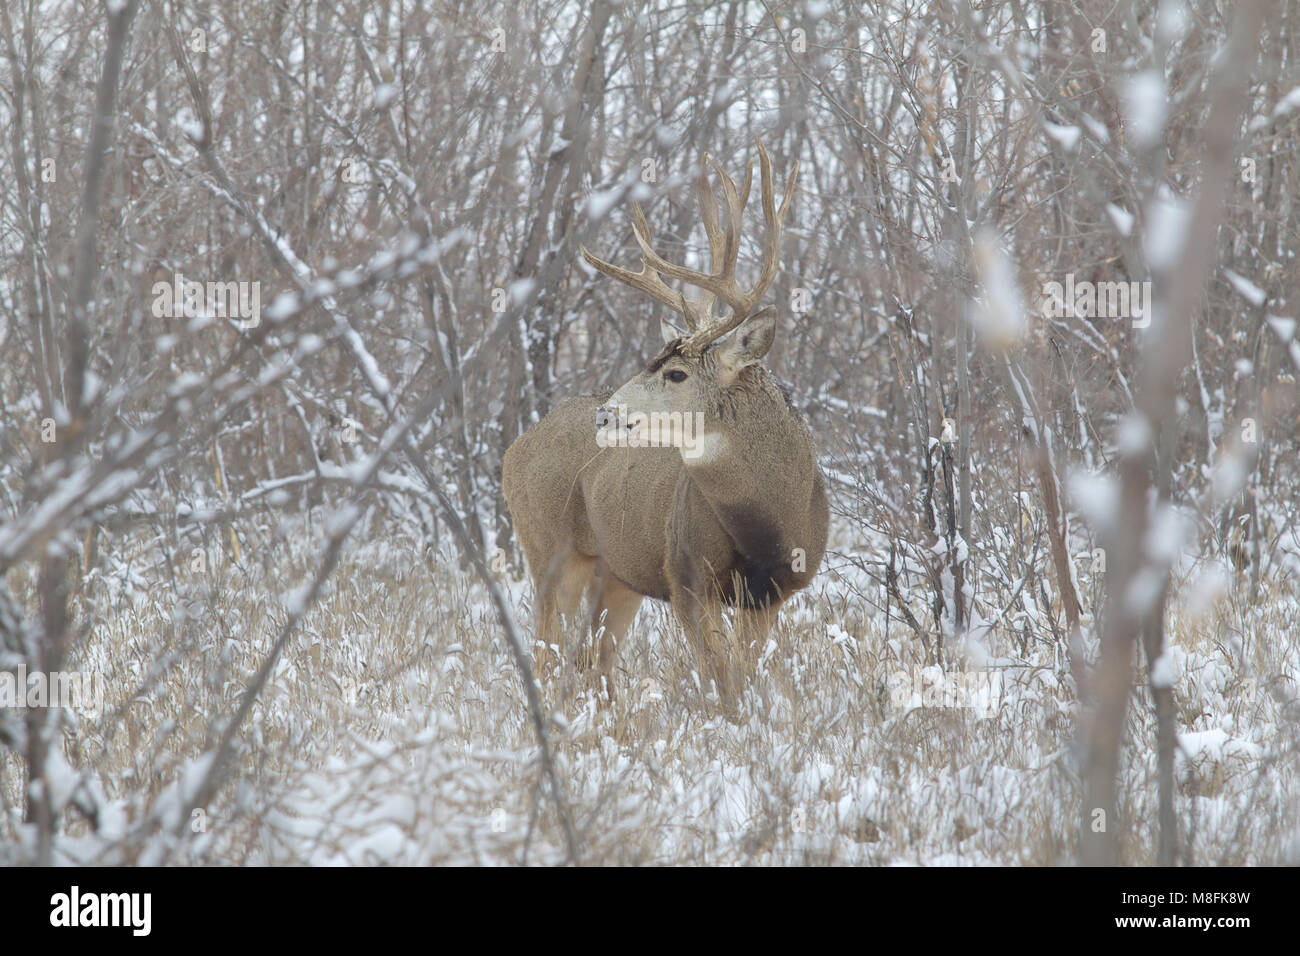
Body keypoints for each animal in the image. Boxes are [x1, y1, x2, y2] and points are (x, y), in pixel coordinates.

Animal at [502, 140, 829, 710]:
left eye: (676, 373)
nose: (607, 412)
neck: (768, 520)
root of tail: (514, 448)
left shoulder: (774, 593)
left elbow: (744, 675)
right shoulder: (687, 577)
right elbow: (723, 679)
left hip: (618, 573)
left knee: (595, 660)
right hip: (546, 547)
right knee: (547, 651)